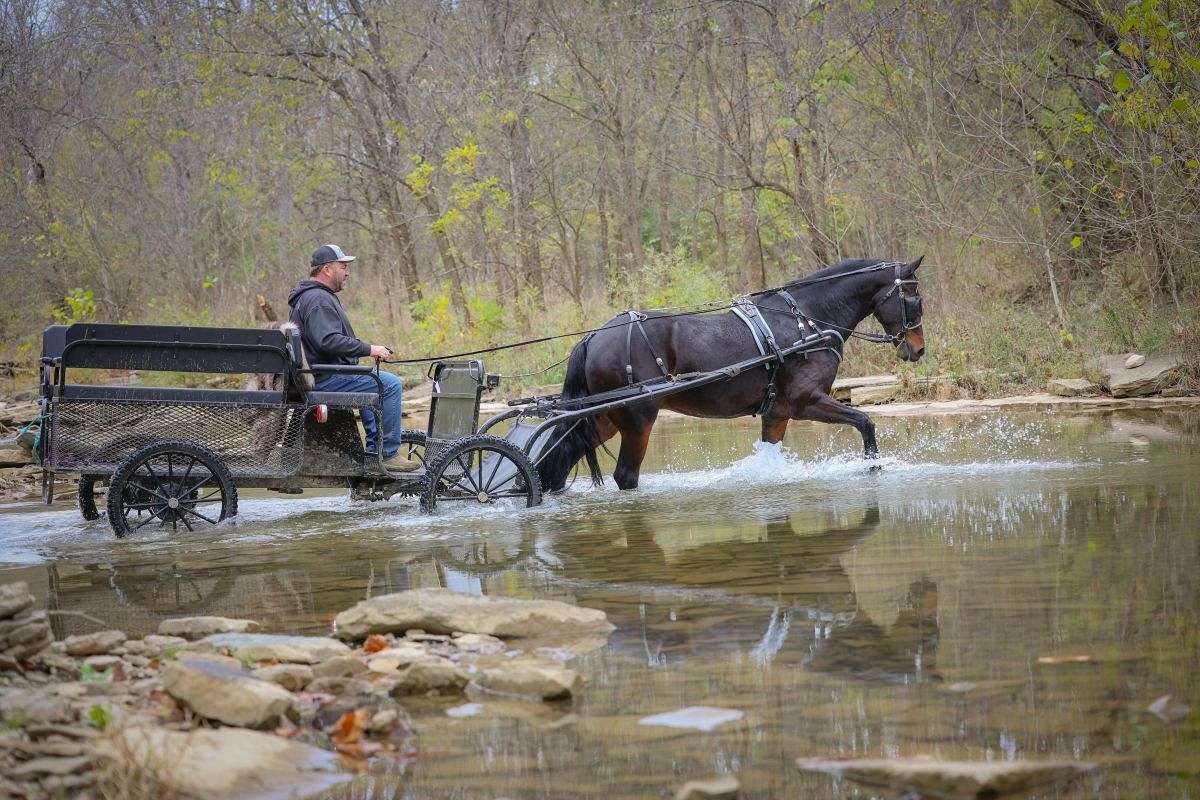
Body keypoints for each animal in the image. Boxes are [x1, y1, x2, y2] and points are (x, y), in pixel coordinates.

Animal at [536, 256, 926, 492]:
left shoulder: (777, 413)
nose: (918, 349)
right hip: (637, 419)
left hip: (603, 418)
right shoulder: (806, 402)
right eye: (912, 297)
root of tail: (594, 337)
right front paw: (873, 468)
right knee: (625, 476)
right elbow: (865, 422)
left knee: (561, 456)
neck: (807, 321)